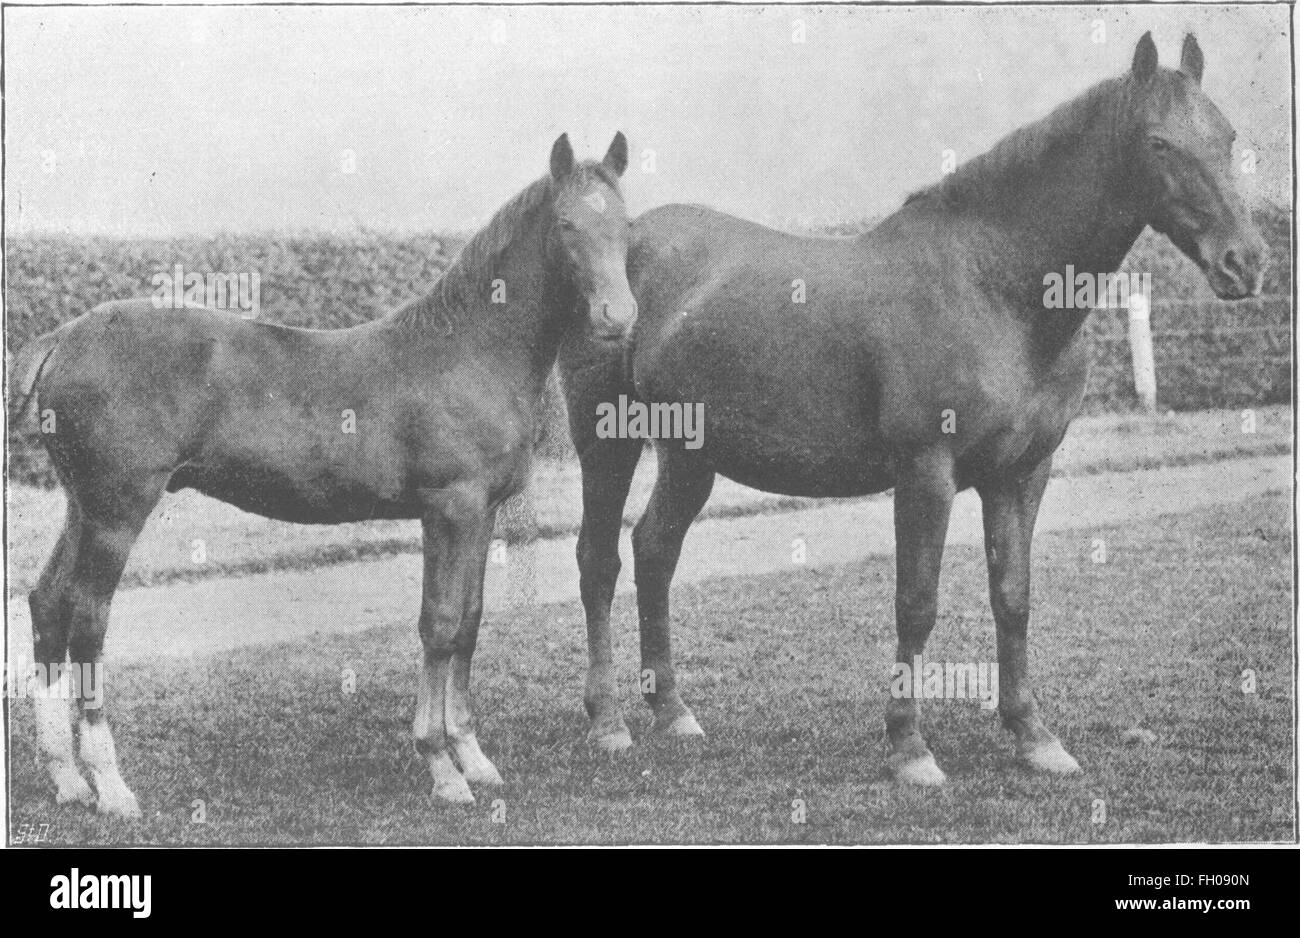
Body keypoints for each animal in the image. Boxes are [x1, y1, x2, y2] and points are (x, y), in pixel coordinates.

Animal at [9, 132, 636, 814]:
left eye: (626, 225)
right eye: (567, 224)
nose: (618, 317)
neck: (470, 349)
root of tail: (63, 338)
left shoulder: (481, 512)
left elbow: (467, 623)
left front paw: (474, 758)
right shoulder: (450, 508)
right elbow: (439, 625)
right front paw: (442, 768)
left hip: (84, 508)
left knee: (47, 604)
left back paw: (68, 779)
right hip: (117, 512)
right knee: (87, 619)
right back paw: (111, 785)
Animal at [558, 33, 1266, 785]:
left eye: (1228, 136)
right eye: (1159, 142)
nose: (1245, 263)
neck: (993, 290)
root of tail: (619, 246)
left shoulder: (1022, 475)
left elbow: (1012, 596)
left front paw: (1034, 737)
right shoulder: (927, 473)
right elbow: (916, 602)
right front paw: (910, 749)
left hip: (692, 455)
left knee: (654, 550)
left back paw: (673, 711)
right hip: (606, 440)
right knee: (600, 560)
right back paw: (607, 722)